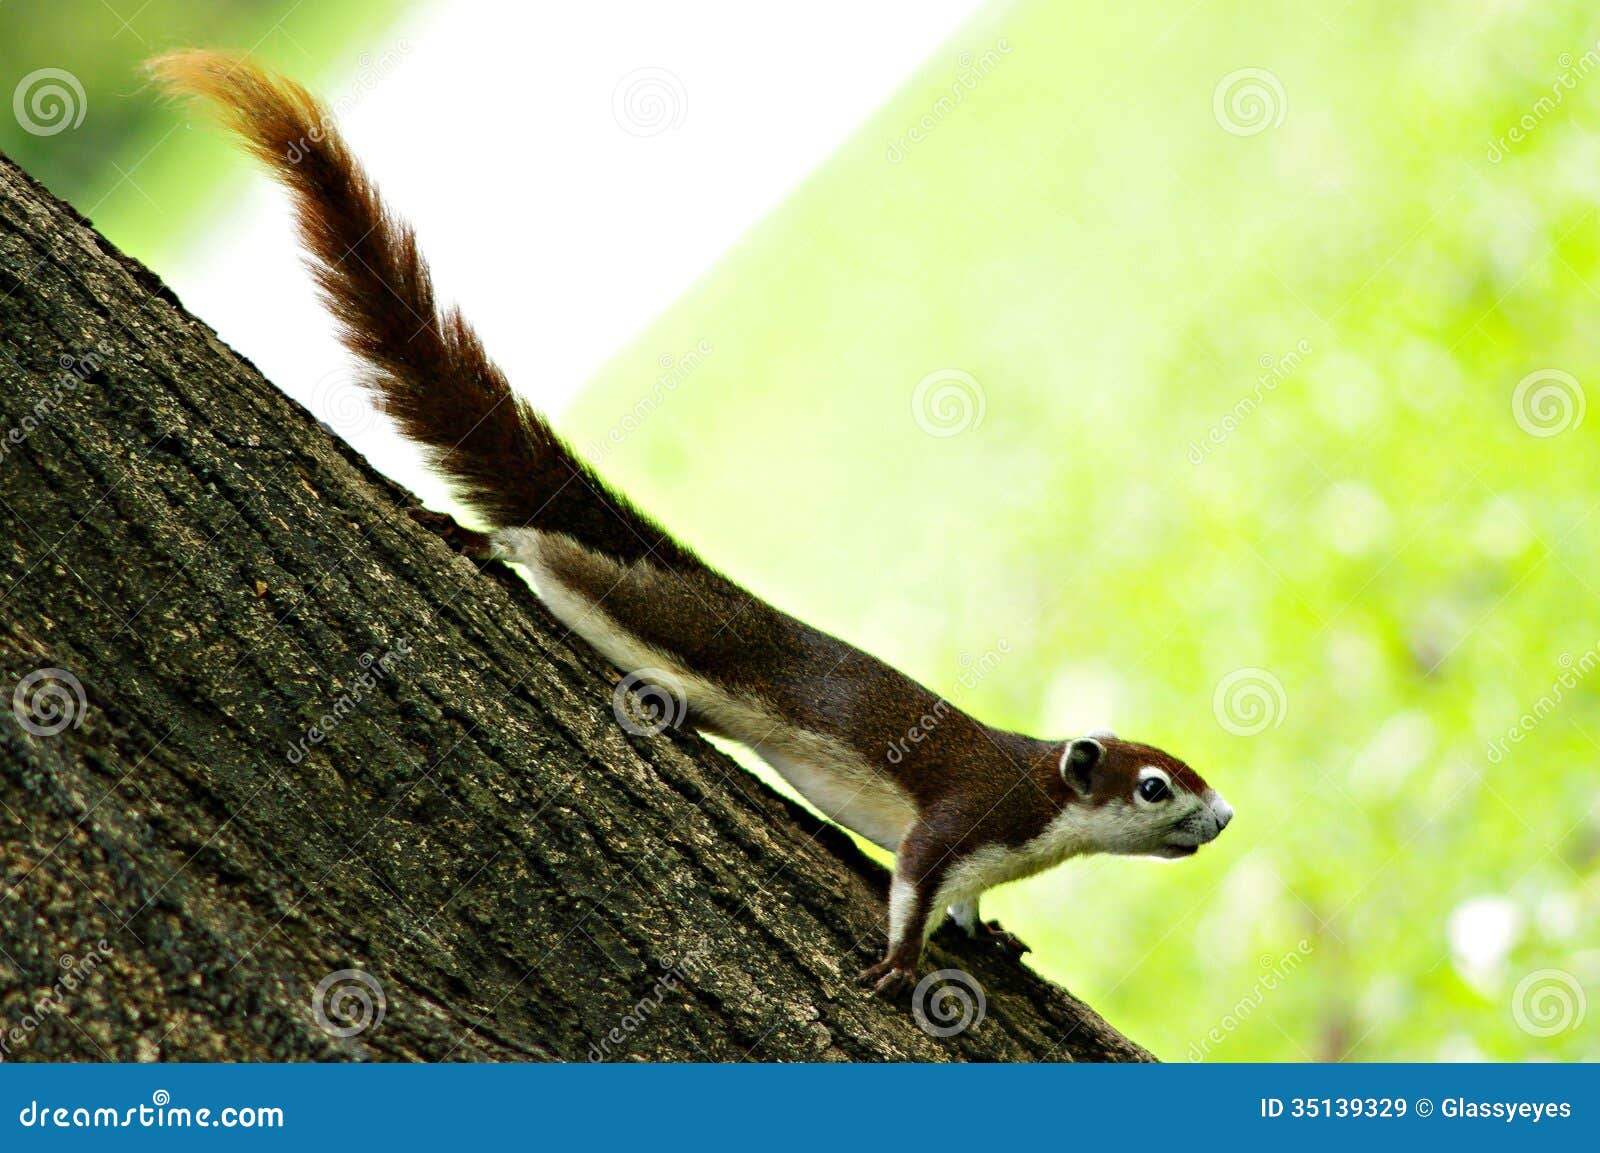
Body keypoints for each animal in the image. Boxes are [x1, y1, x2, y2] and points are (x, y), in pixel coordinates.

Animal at [149, 51, 1233, 998]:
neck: (1046, 804)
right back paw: (484, 539)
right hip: (637, 607)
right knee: (555, 555)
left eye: (1190, 770)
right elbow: (917, 878)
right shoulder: (969, 811)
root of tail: (686, 574)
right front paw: (900, 965)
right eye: (1155, 786)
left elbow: (963, 905)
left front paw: (995, 935)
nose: (1223, 817)